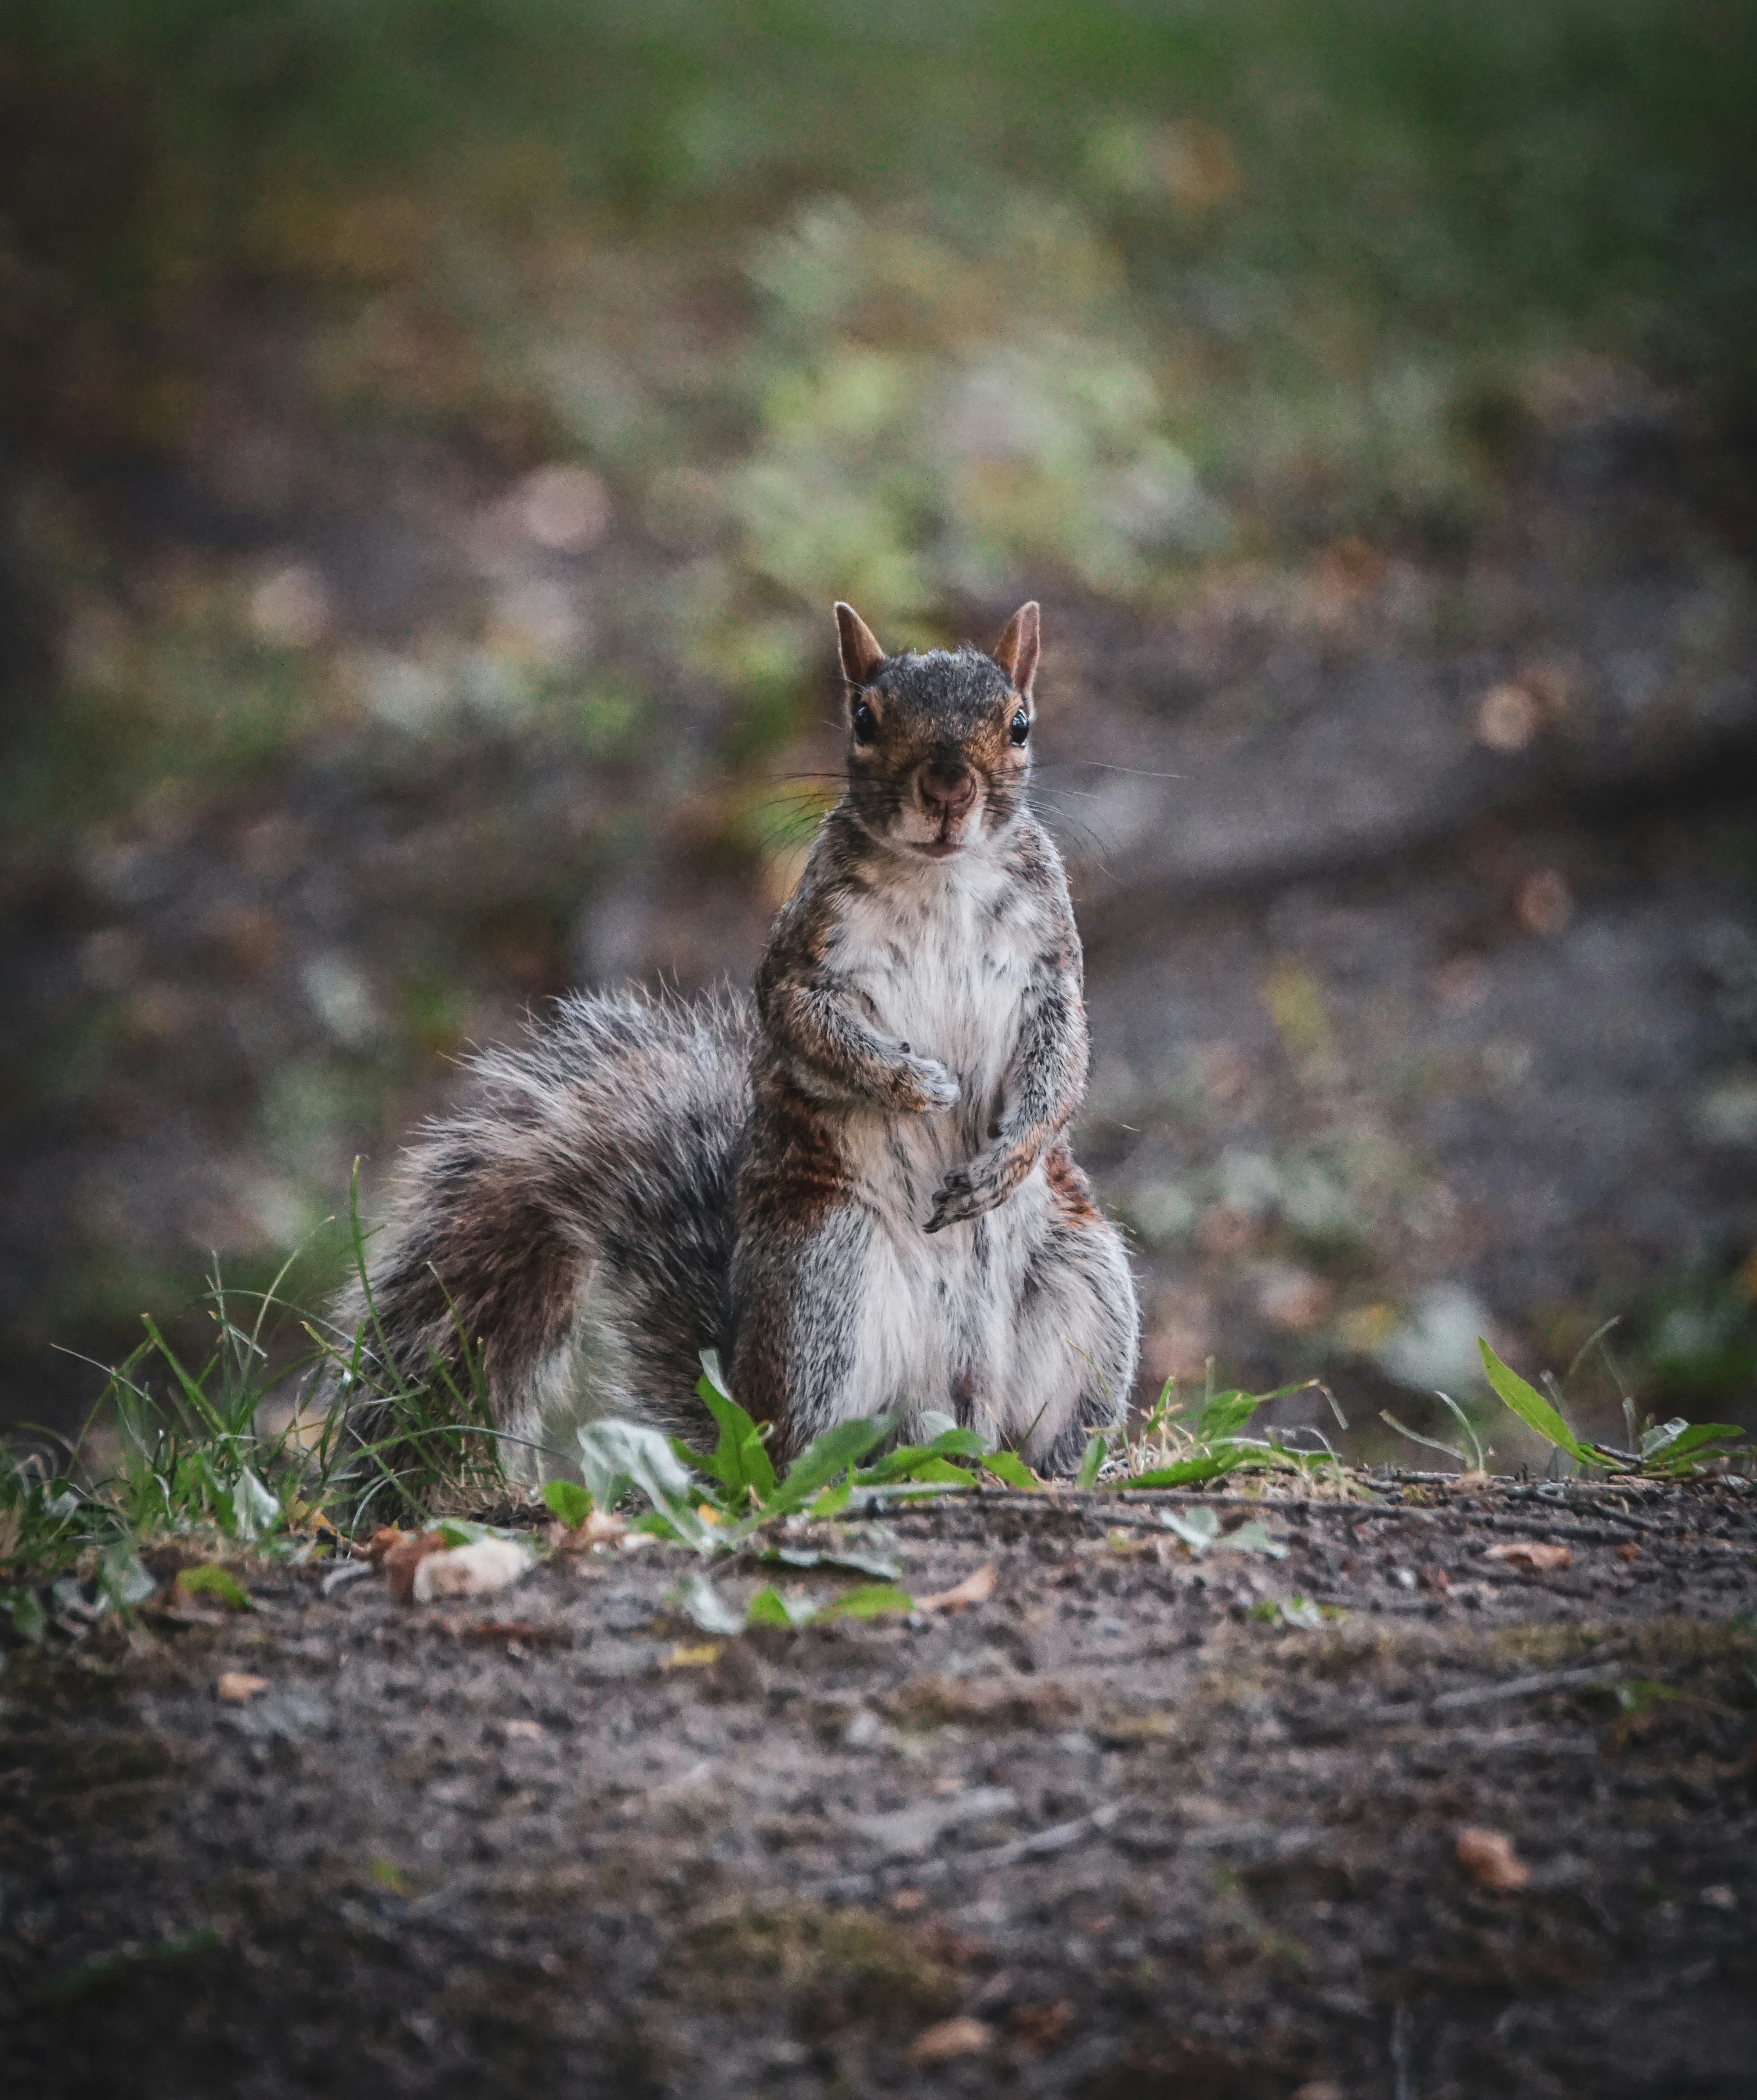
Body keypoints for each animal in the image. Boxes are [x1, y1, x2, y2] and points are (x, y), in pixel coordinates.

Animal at [338, 600, 1139, 1478]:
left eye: (1019, 724)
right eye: (864, 718)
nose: (948, 790)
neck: (942, 877)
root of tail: (956, 1413)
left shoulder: (1050, 971)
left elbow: (1062, 1064)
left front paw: (1009, 1156)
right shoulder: (801, 960)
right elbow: (812, 1030)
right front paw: (912, 1084)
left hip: (1085, 1283)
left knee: (1049, 1429)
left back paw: (1060, 1469)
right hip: (822, 1283)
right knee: (799, 1451)